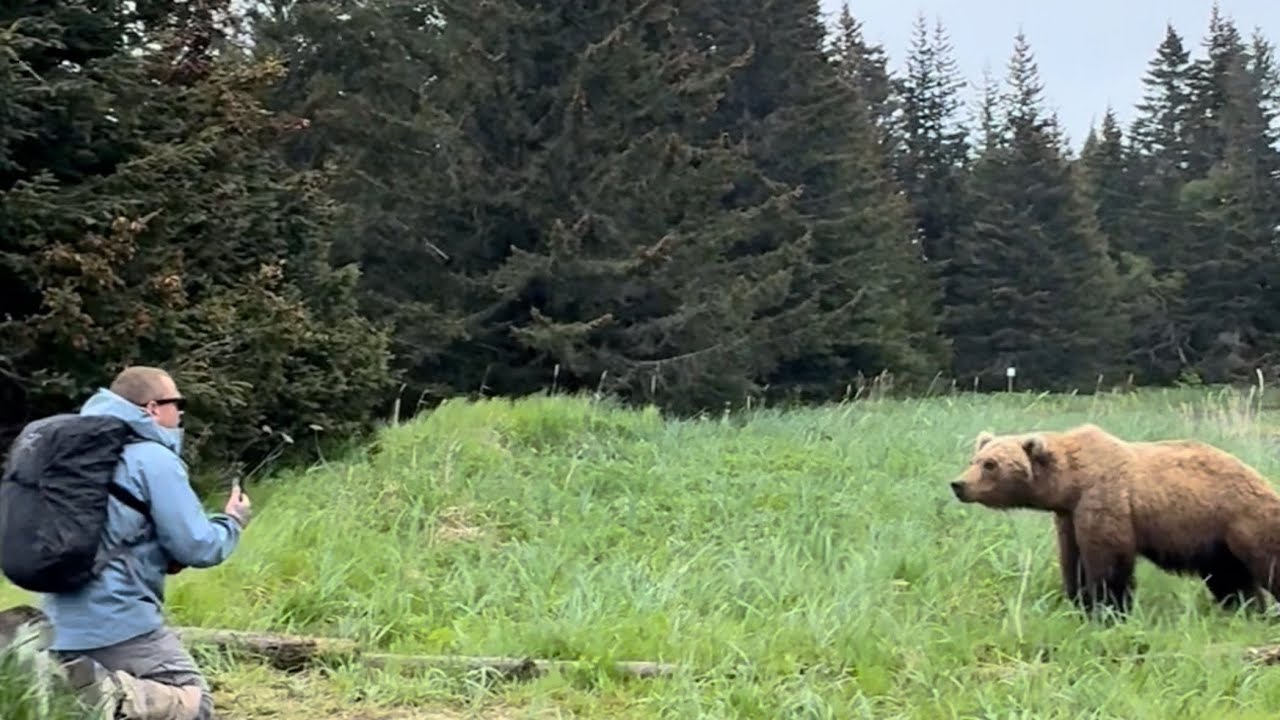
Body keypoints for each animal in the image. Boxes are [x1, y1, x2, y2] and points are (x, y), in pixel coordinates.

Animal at [948, 422, 1280, 617]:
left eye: (991, 464)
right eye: (974, 460)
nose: (958, 484)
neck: (1072, 483)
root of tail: (1263, 480)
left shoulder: (1105, 501)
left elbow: (1108, 561)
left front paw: (1108, 609)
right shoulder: (1069, 515)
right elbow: (1073, 560)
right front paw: (1080, 601)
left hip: (1245, 519)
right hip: (1215, 539)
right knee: (1230, 577)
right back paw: (1246, 610)